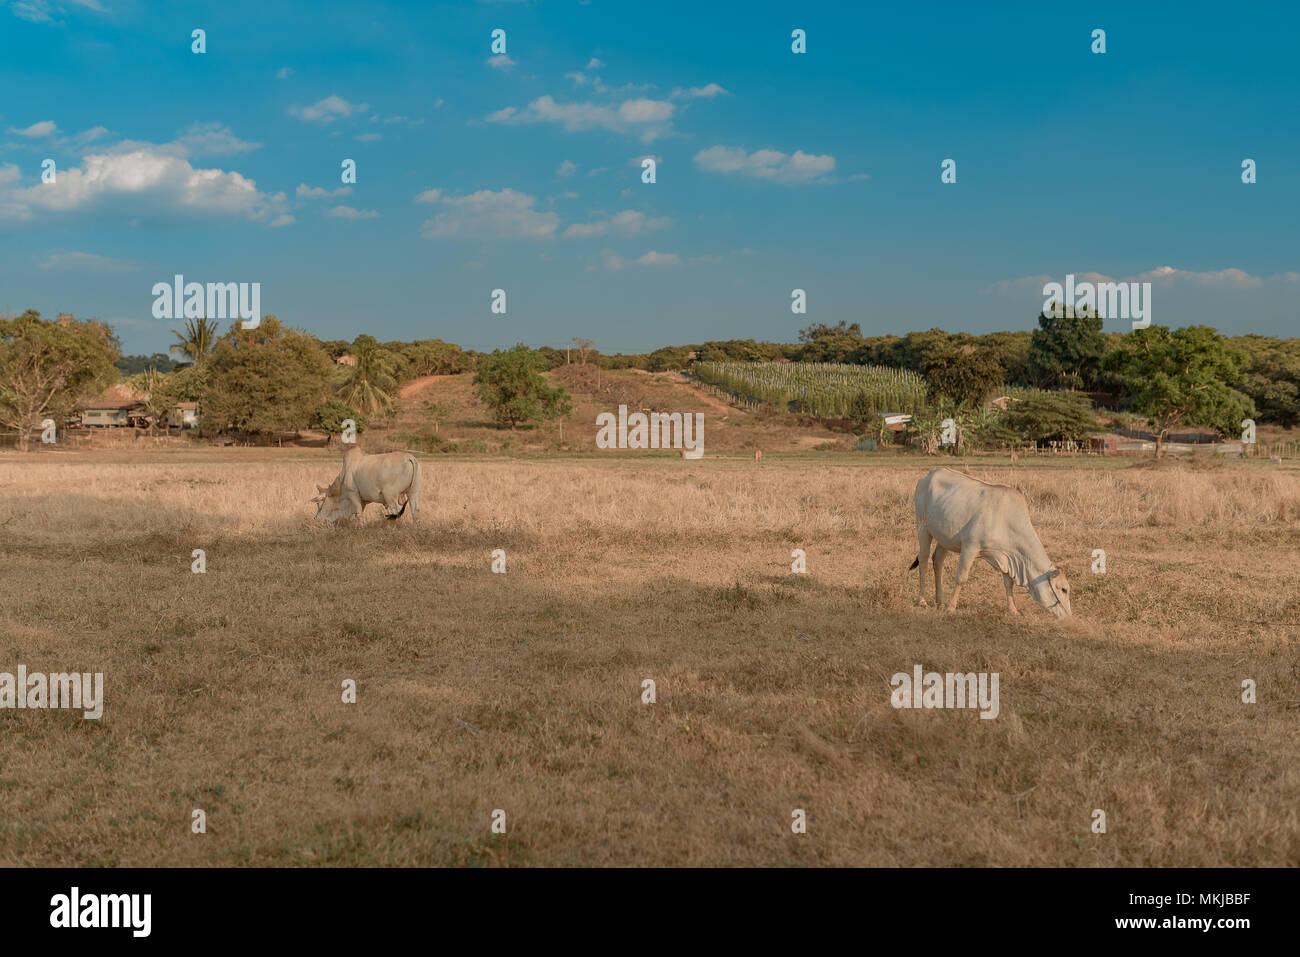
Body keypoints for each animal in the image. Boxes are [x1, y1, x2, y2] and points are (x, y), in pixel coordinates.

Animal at [909, 467, 1071, 618]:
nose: (1068, 616)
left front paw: (1013, 609)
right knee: (923, 559)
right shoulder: (970, 547)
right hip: (923, 527)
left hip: (944, 536)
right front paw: (951, 607)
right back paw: (922, 600)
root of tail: (930, 474)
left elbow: (1008, 582)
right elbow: (961, 578)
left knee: (937, 560)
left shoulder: (1006, 557)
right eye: (1064, 589)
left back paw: (940, 601)